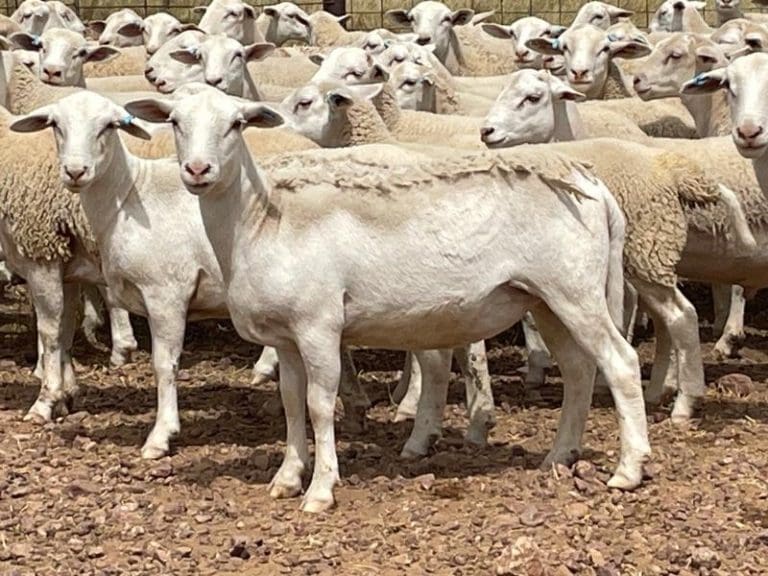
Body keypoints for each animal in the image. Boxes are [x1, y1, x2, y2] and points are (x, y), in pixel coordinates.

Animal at [125, 85, 651, 511]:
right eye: (175, 122)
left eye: (236, 124)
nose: (198, 169)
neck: (263, 221)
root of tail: (592, 184)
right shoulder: (285, 337)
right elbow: (292, 402)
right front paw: (287, 478)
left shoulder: (319, 325)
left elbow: (320, 404)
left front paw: (321, 489)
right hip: (544, 298)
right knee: (580, 369)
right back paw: (559, 456)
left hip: (574, 289)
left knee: (621, 363)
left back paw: (629, 469)